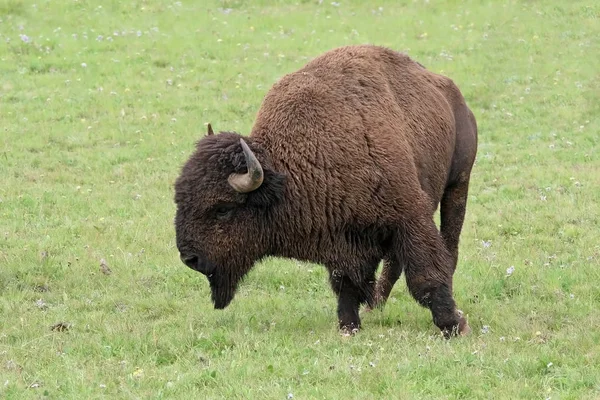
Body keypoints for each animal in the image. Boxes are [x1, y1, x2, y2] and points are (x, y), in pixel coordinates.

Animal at [173, 44, 478, 338]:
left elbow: (426, 276)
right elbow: (346, 282)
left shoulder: (409, 217)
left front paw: (455, 325)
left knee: (448, 248)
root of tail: (451, 93)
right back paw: (374, 306)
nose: (189, 258)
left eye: (223, 209)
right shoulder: (343, 236)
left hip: (458, 184)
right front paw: (348, 327)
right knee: (393, 264)